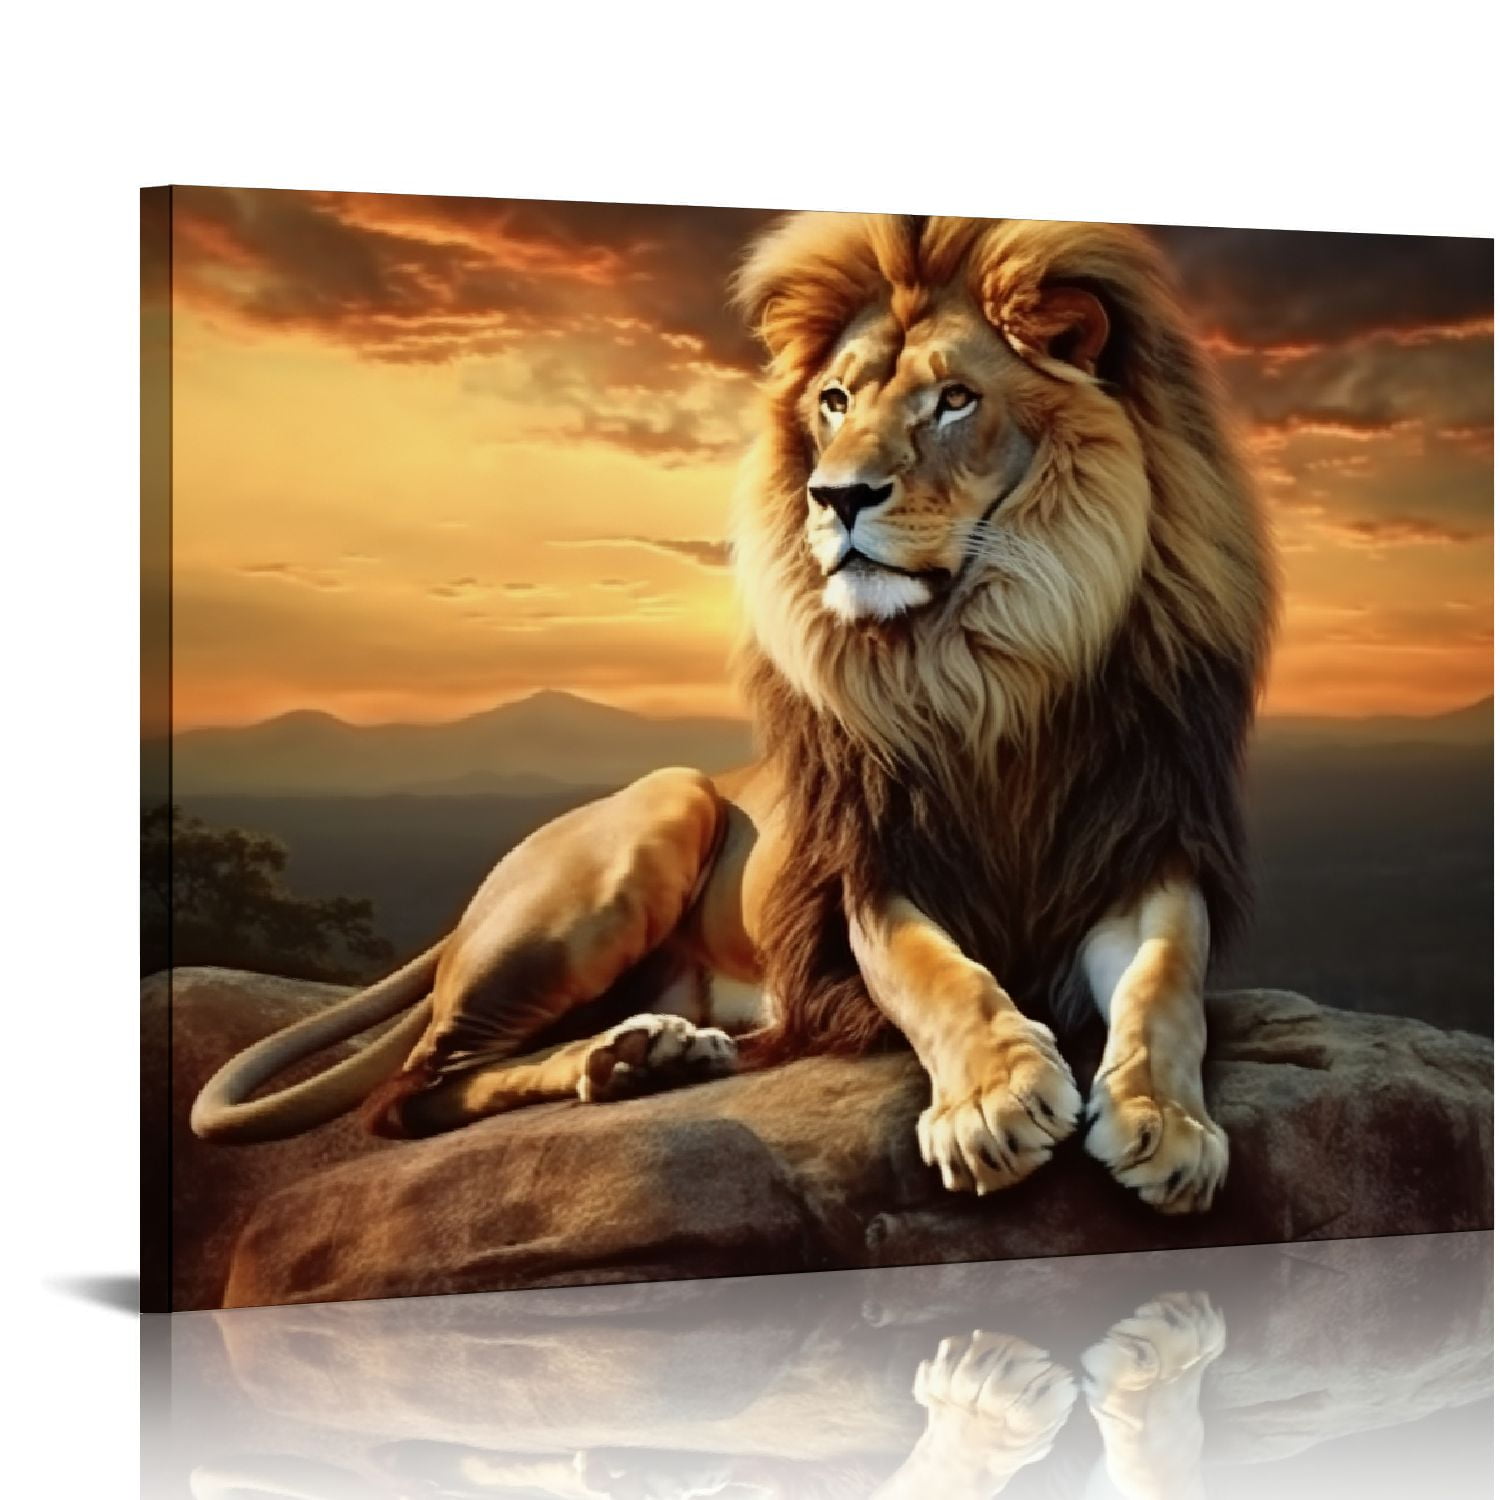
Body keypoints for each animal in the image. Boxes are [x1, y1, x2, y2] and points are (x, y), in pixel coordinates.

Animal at [191, 212, 1276, 1214]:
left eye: (955, 400)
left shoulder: (1140, 846)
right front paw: (992, 1101)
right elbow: (940, 977)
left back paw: (653, 1054)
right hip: (654, 819)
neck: (984, 663)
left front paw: (1167, 1121)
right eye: (835, 402)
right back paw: (620, 1063)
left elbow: (1165, 983)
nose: (835, 497)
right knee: (416, 1091)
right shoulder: (870, 875)